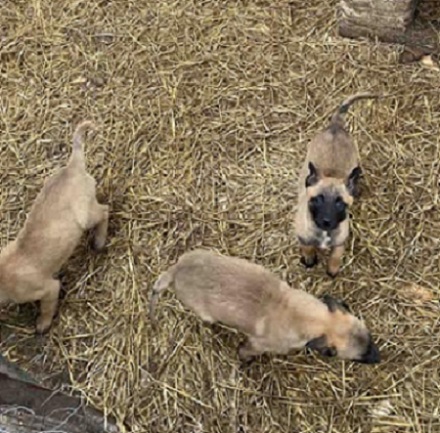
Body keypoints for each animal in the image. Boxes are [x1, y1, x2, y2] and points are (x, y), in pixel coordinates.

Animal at [0, 120, 109, 332]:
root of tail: (73, 166)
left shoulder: (48, 288)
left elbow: (46, 309)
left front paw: (42, 325)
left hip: (87, 215)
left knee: (105, 211)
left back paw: (99, 242)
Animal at [150, 248, 380, 362]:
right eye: (360, 357)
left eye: (371, 340)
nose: (379, 357)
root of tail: (177, 269)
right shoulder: (258, 345)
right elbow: (247, 351)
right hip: (205, 313)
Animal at [296, 92, 378, 276]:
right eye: (318, 199)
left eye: (340, 203)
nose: (326, 221)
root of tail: (335, 127)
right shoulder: (302, 237)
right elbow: (307, 248)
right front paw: (309, 259)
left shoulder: (340, 242)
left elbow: (336, 255)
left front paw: (332, 269)